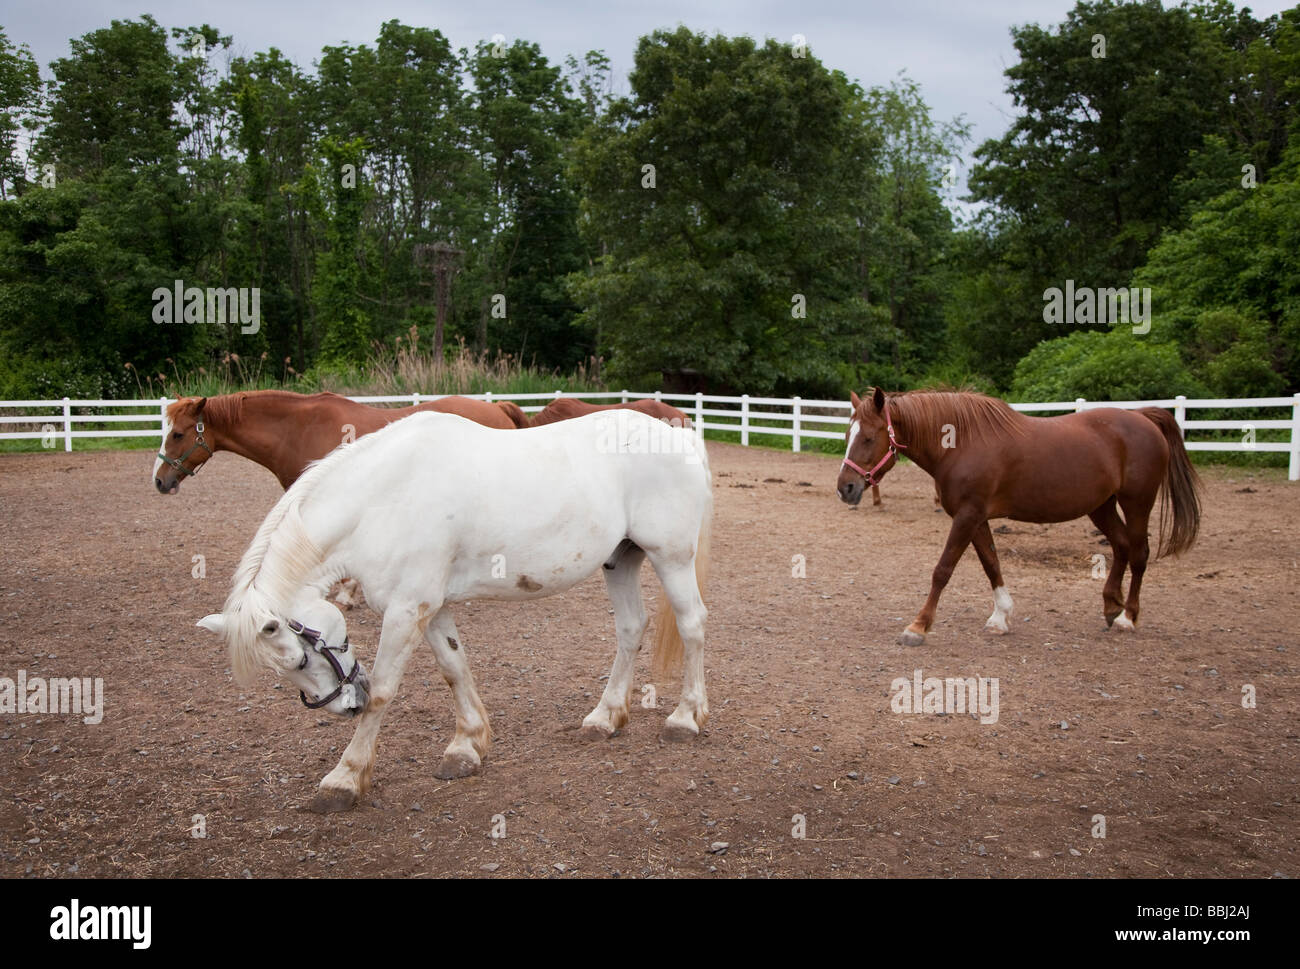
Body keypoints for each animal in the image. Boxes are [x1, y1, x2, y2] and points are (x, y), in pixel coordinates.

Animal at [195, 409, 713, 813]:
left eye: (302, 657)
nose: (345, 705)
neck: (382, 499)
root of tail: (678, 435)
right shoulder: (432, 607)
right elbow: (453, 668)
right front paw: (467, 746)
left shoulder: (407, 610)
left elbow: (385, 691)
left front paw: (344, 778)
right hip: (620, 559)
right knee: (631, 629)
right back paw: (605, 718)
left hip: (671, 558)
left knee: (692, 626)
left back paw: (685, 719)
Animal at [837, 387, 1202, 644]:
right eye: (846, 436)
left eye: (868, 438)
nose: (846, 488)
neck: (961, 443)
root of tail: (1143, 417)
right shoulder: (976, 517)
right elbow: (991, 564)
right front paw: (1000, 618)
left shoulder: (967, 515)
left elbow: (943, 570)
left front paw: (919, 625)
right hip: (1102, 506)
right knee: (1122, 546)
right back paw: (1112, 606)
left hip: (1137, 502)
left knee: (1139, 553)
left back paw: (1128, 617)